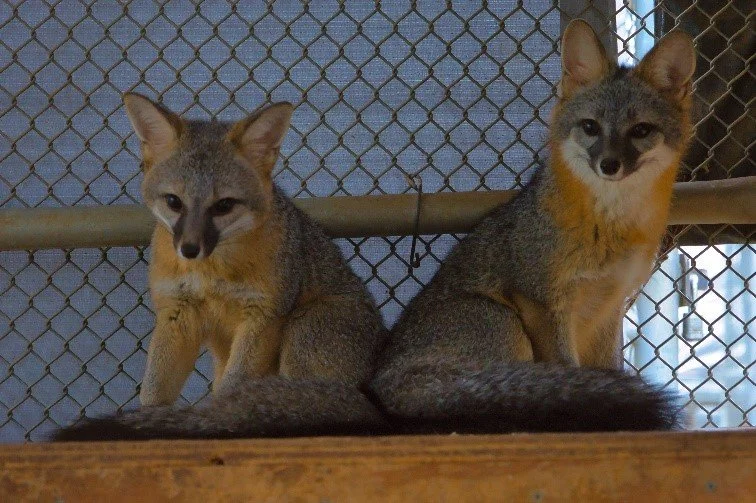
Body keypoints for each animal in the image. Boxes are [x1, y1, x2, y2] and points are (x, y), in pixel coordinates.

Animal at [54, 20, 695, 441]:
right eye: (173, 203)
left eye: (639, 132)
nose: (188, 247)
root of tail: (384, 390)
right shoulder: (179, 314)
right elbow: (157, 389)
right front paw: (158, 422)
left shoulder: (603, 308)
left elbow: (596, 373)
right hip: (494, 320)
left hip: (318, 325)